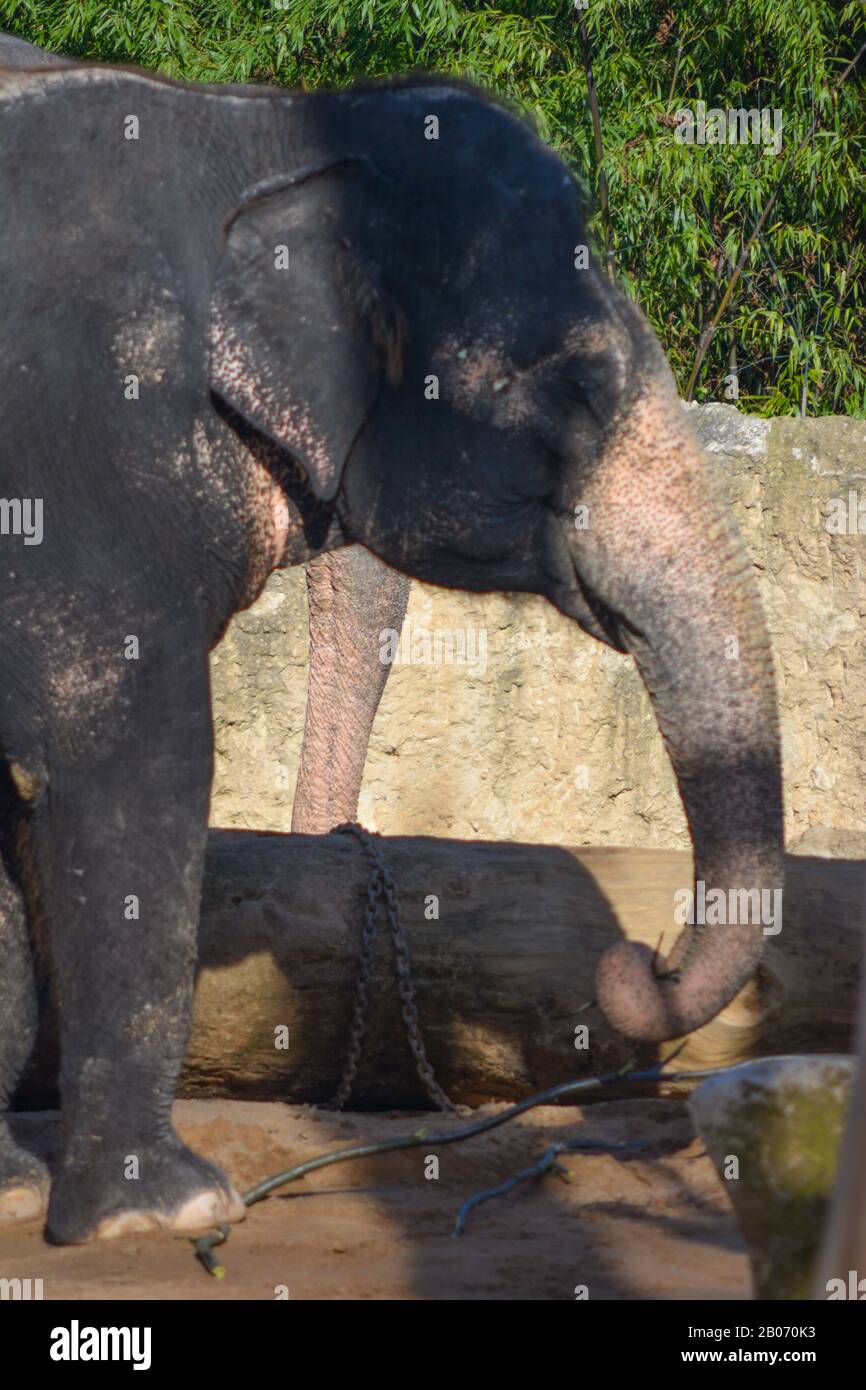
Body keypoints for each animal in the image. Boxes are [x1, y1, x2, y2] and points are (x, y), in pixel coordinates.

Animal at [0, 39, 783, 1245]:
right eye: (579, 391)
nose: (638, 962)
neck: (267, 124)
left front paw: (16, 1192)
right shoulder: (82, 439)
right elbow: (132, 753)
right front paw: (166, 1213)